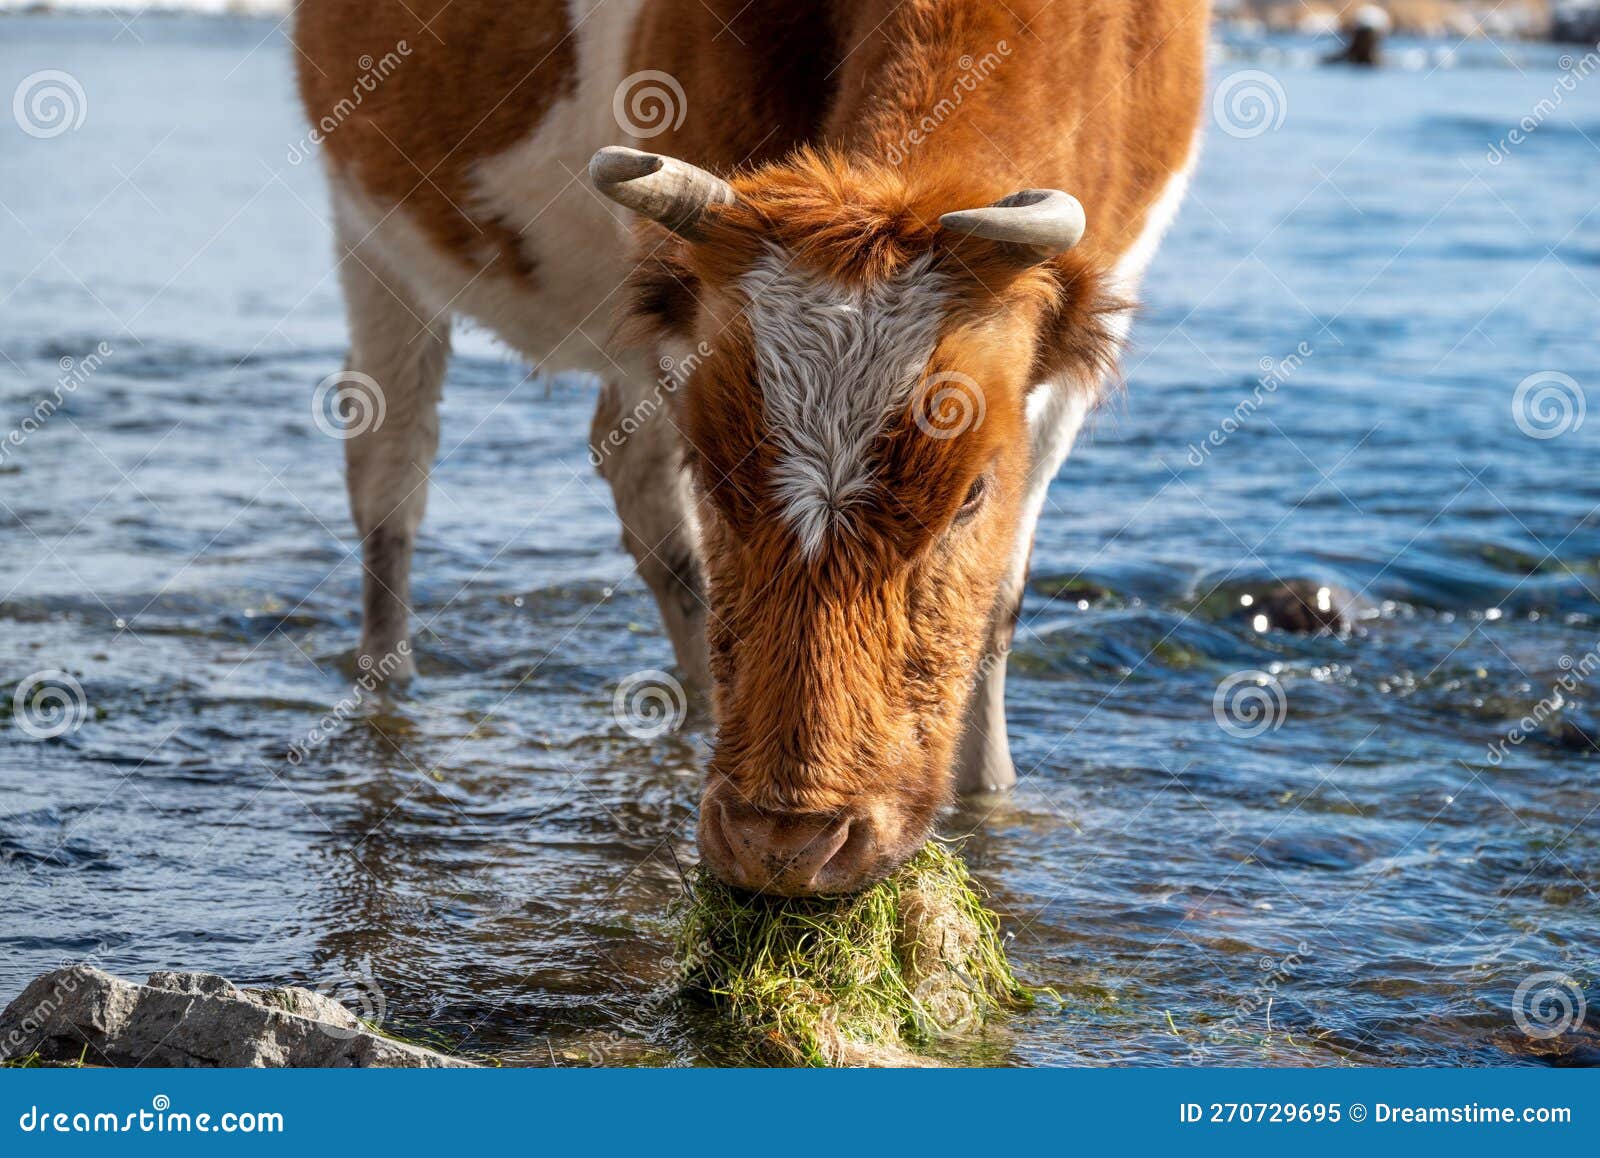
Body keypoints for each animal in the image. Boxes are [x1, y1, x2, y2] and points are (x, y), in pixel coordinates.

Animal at [294, 0, 1207, 896]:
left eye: (972, 494)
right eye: (712, 467)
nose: (787, 840)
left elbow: (997, 610)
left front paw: (991, 795)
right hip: (368, 236)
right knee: (391, 471)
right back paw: (387, 687)